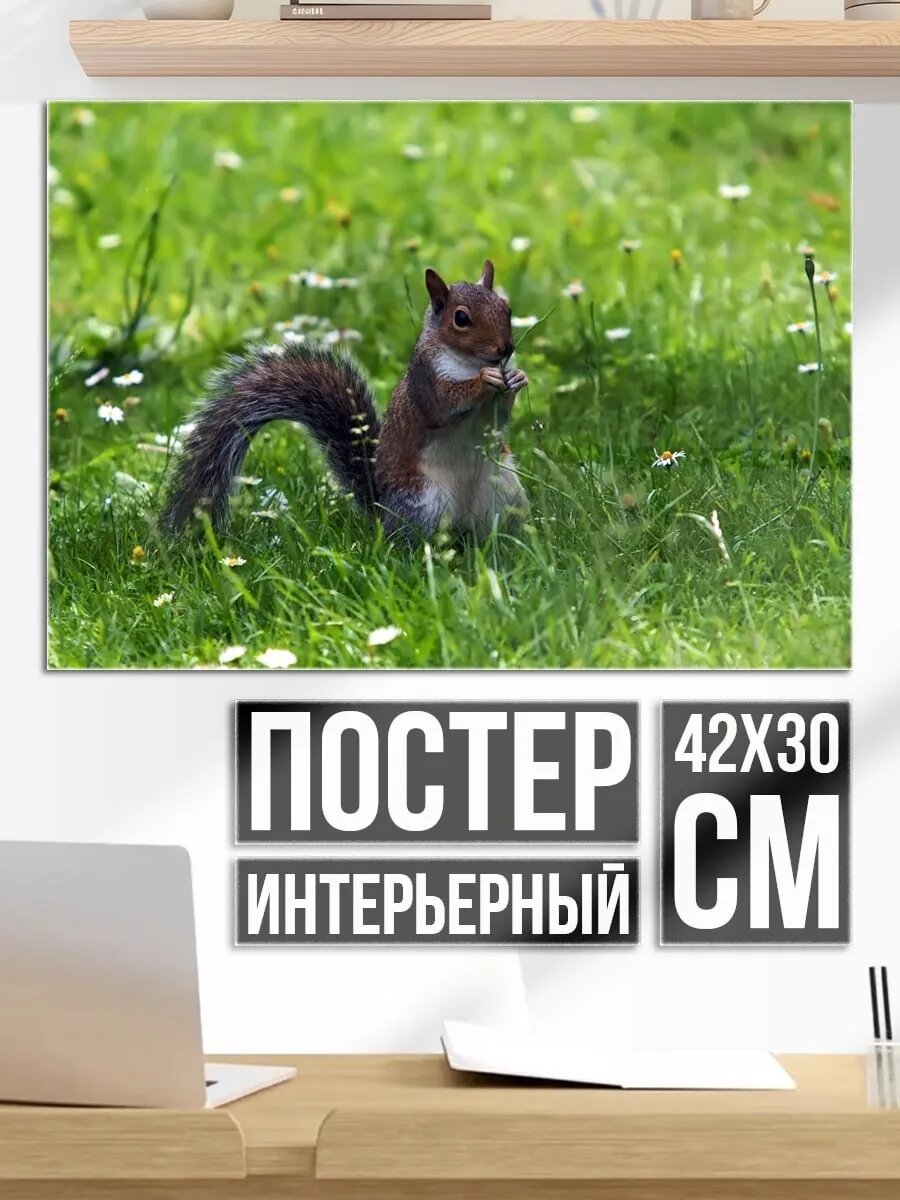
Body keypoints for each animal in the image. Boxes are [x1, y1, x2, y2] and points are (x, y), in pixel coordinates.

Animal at [161, 259, 529, 541]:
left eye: (507, 308)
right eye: (461, 318)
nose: (505, 349)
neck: (468, 362)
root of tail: (382, 511)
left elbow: (499, 417)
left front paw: (515, 378)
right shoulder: (425, 381)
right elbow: (444, 404)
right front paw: (485, 381)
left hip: (504, 489)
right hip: (424, 500)